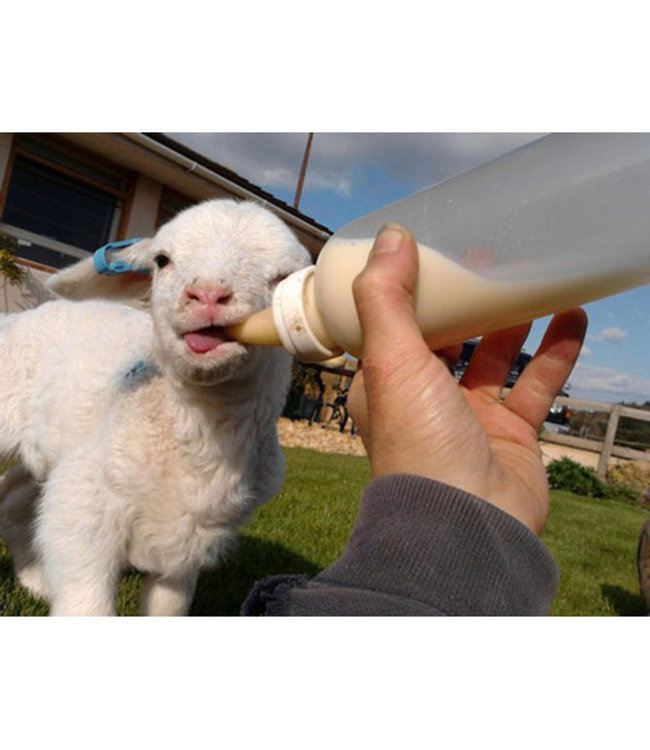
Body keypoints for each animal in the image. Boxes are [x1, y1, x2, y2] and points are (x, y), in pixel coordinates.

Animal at [0, 199, 311, 615]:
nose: (207, 295)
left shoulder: (190, 541)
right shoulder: (85, 504)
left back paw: (35, 583)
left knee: (14, 496)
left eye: (283, 276)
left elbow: (168, 606)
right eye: (162, 260)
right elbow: (88, 604)